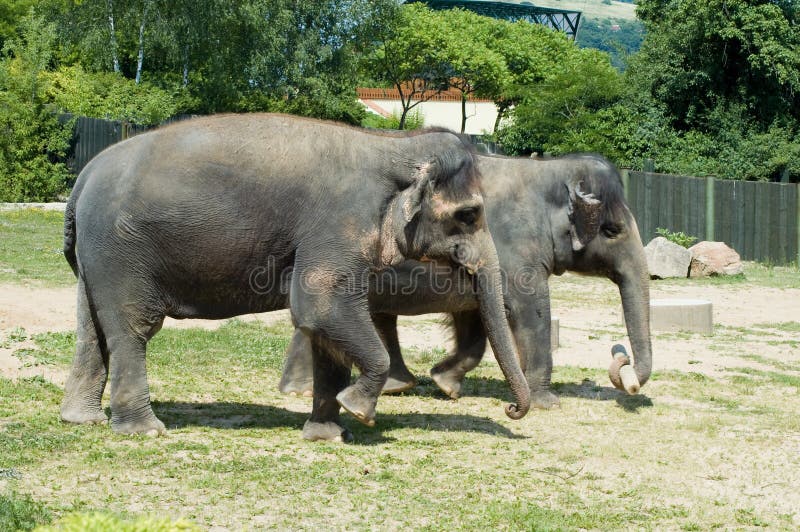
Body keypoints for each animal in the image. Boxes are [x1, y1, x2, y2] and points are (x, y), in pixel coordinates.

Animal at [59, 114, 530, 442]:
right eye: (469, 215)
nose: (511, 412)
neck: (394, 146)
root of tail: (83, 179)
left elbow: (325, 331)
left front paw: (331, 435)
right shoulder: (340, 222)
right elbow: (320, 309)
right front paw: (359, 411)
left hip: (96, 256)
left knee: (92, 329)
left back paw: (82, 420)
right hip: (122, 250)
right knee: (132, 329)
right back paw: (144, 431)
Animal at [279, 153, 653, 408]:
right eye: (612, 231)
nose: (621, 359)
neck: (549, 171)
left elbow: (474, 321)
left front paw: (446, 383)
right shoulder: (516, 254)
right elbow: (531, 311)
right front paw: (548, 404)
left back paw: (389, 386)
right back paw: (304, 389)